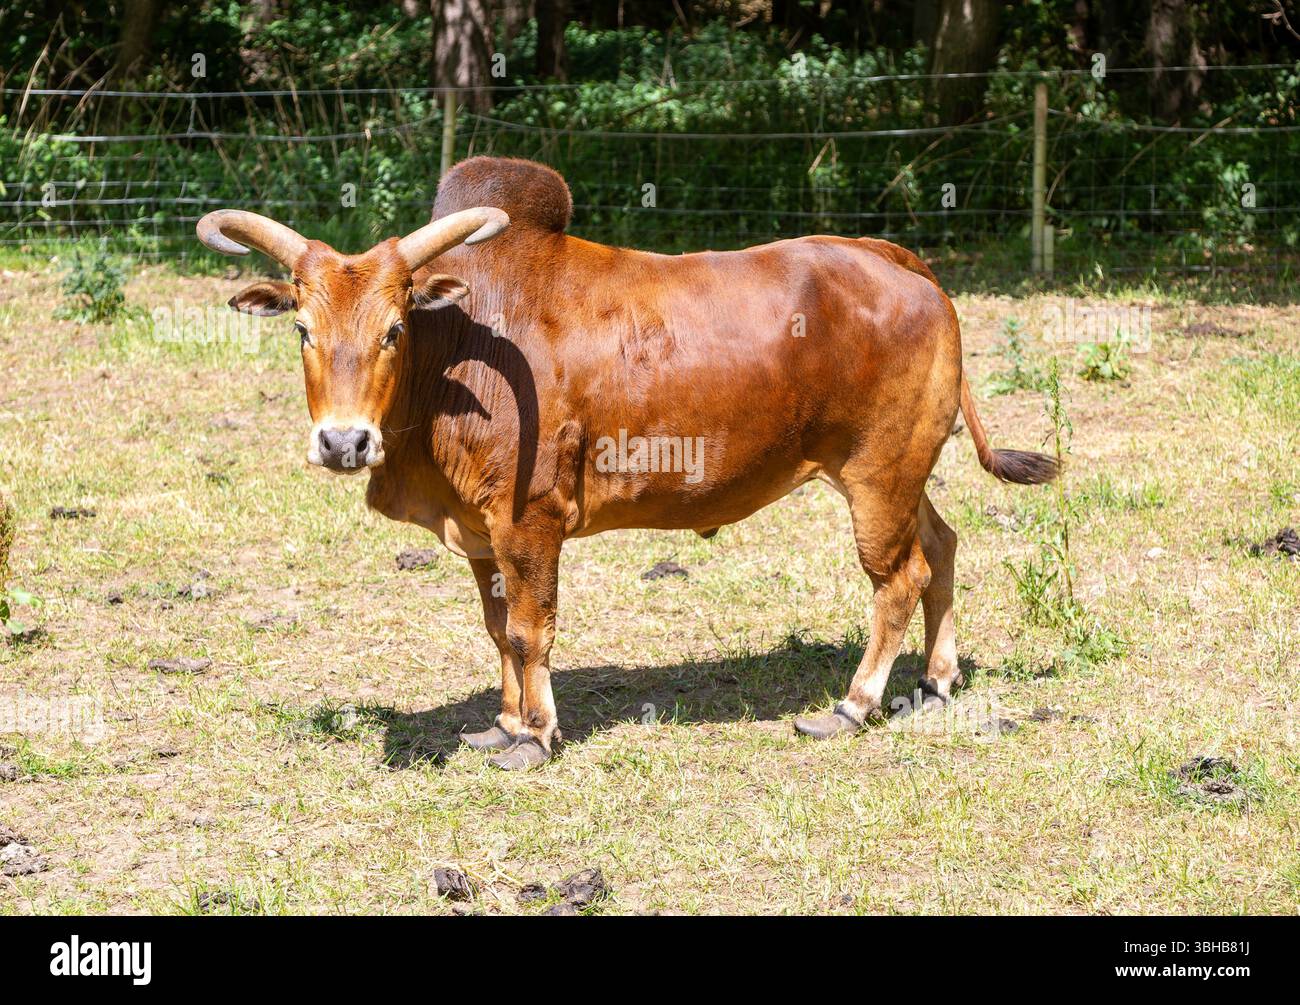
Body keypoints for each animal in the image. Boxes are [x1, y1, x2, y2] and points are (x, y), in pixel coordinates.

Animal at [195, 156, 1056, 770]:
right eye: (302, 328)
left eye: (395, 329)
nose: (344, 442)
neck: (462, 340)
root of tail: (899, 260)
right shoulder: (481, 533)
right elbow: (497, 629)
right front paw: (501, 721)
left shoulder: (530, 519)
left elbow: (530, 630)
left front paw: (534, 734)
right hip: (904, 469)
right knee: (943, 547)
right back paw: (935, 680)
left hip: (878, 473)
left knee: (899, 577)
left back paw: (854, 702)